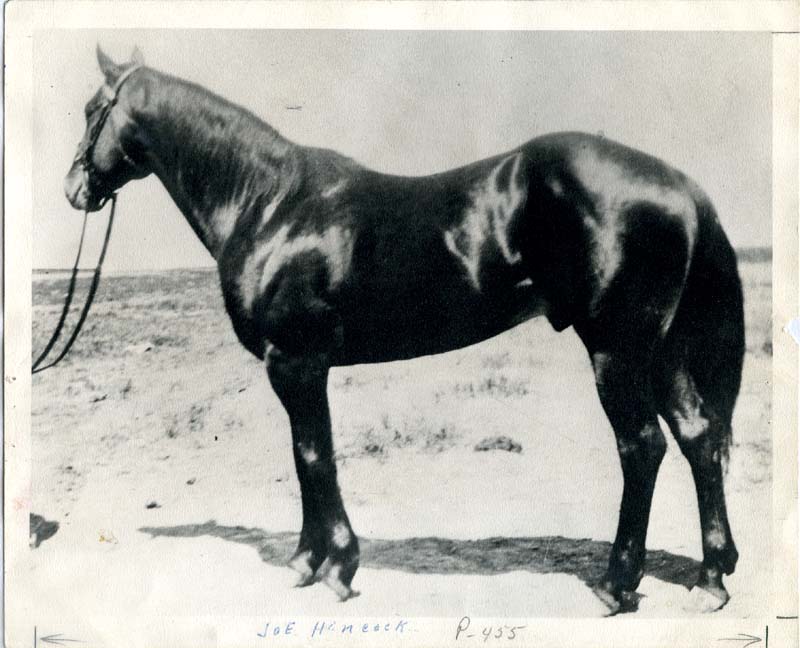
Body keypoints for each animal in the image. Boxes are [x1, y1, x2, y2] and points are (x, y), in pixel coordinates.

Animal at [64, 47, 745, 614]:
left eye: (94, 109)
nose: (75, 189)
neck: (270, 204)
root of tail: (684, 188)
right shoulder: (297, 367)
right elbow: (303, 456)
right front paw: (307, 561)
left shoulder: (295, 361)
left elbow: (313, 455)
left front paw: (336, 566)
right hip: (662, 352)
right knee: (698, 437)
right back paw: (710, 578)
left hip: (616, 351)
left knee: (643, 447)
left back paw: (616, 584)